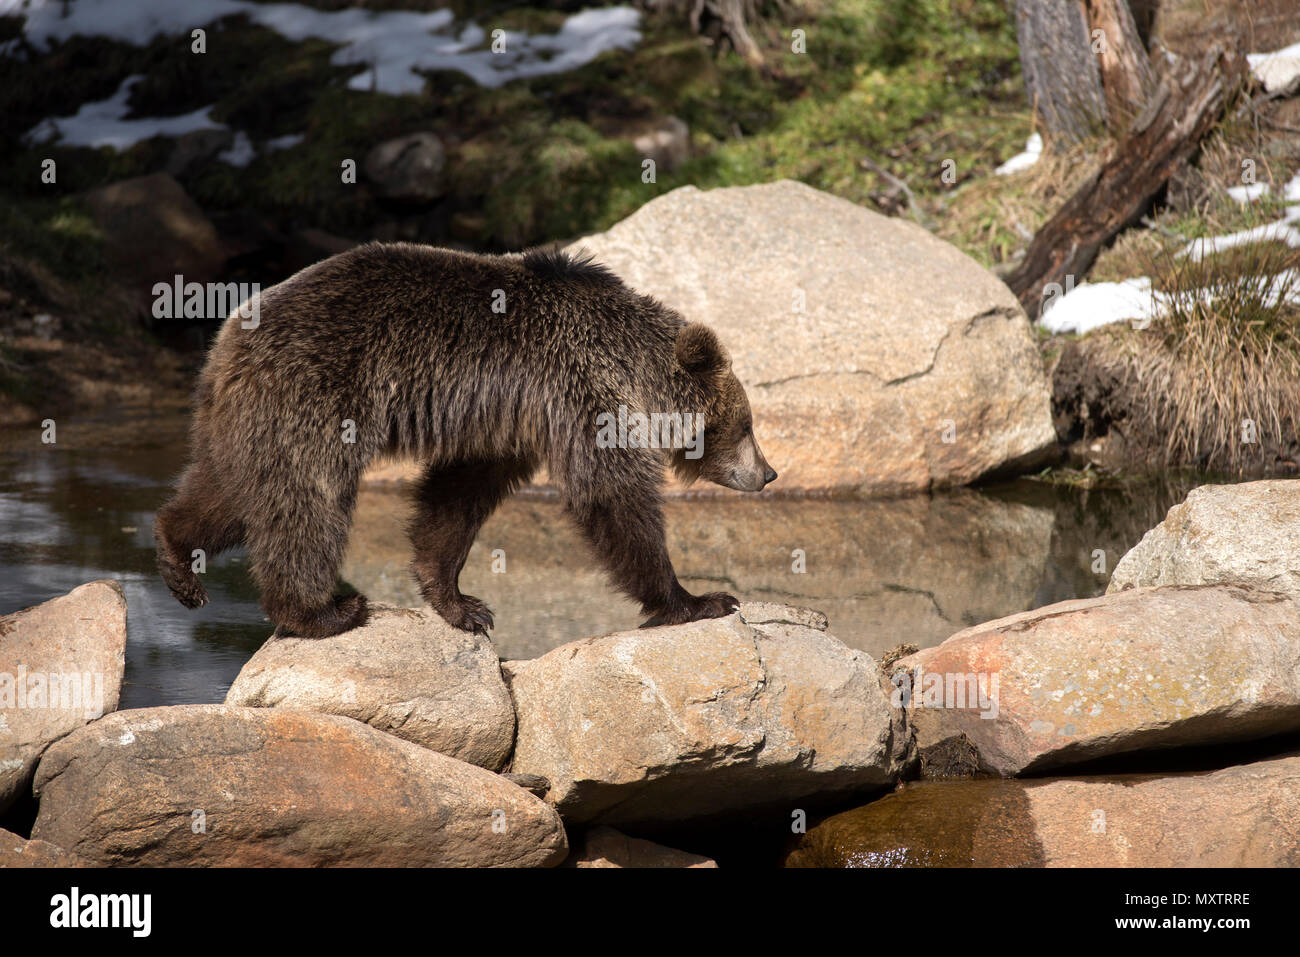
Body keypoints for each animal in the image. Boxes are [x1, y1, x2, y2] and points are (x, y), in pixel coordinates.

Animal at [154, 242, 777, 638]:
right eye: (747, 424)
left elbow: (457, 498)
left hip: (243, 419)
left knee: (229, 491)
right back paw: (323, 611)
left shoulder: (506, 421)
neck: (632, 367)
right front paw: (698, 599)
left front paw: (460, 603)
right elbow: (612, 495)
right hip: (316, 393)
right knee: (307, 500)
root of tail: (231, 333)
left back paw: (178, 559)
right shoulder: (577, 387)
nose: (768, 473)